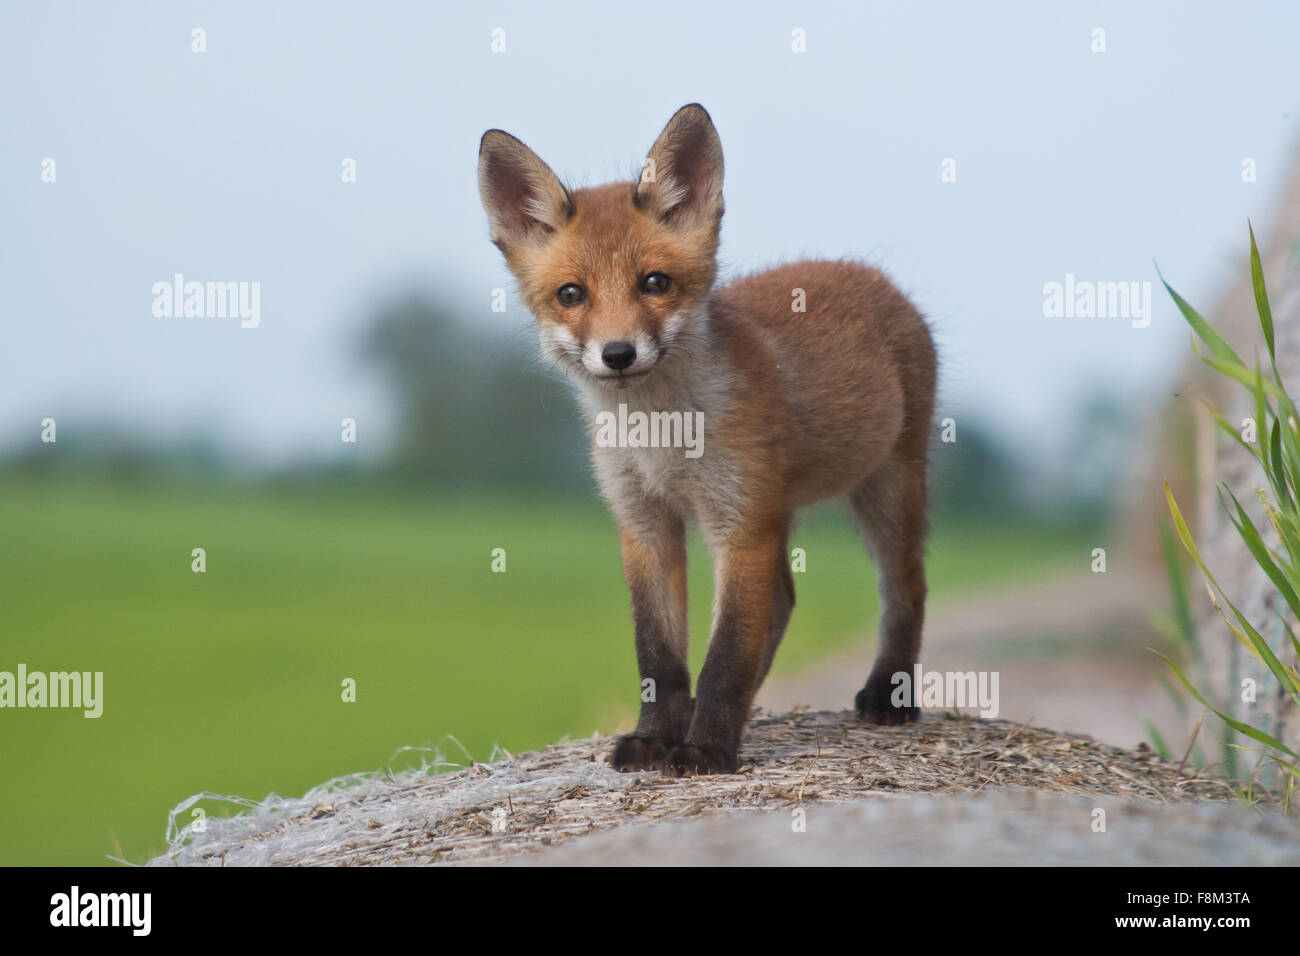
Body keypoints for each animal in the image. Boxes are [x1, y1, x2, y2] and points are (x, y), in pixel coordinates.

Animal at [477, 104, 937, 775]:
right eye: (571, 295)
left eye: (655, 282)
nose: (618, 354)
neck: (662, 436)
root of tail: (871, 274)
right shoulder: (644, 523)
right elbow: (659, 655)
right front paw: (657, 737)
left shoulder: (740, 522)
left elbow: (726, 655)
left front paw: (707, 749)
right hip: (786, 509)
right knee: (783, 602)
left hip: (886, 489)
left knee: (905, 586)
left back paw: (888, 695)